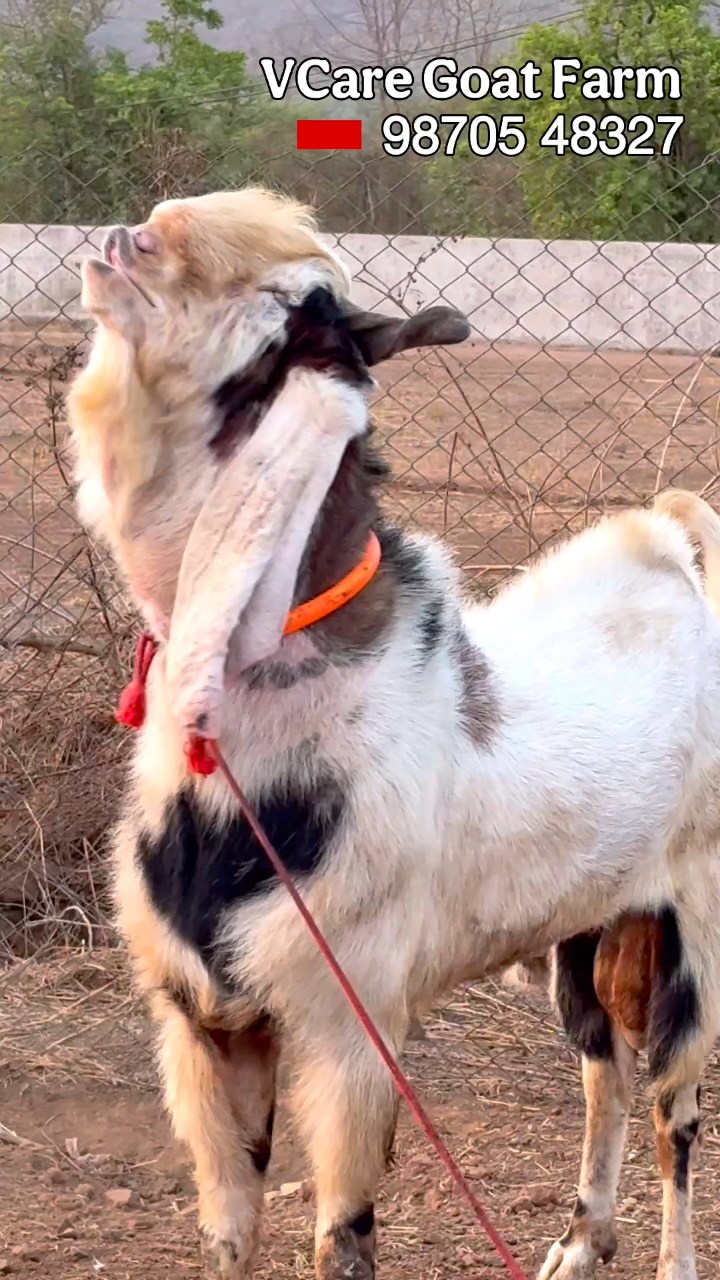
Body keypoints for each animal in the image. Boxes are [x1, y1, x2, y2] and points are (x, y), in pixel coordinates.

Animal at [68, 186, 720, 1280]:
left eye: (298, 315)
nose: (138, 235)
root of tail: (676, 545)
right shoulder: (202, 1025)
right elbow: (228, 1235)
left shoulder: (352, 1023)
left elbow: (343, 1238)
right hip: (585, 920)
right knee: (604, 1068)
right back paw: (578, 1243)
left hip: (694, 922)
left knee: (678, 1106)